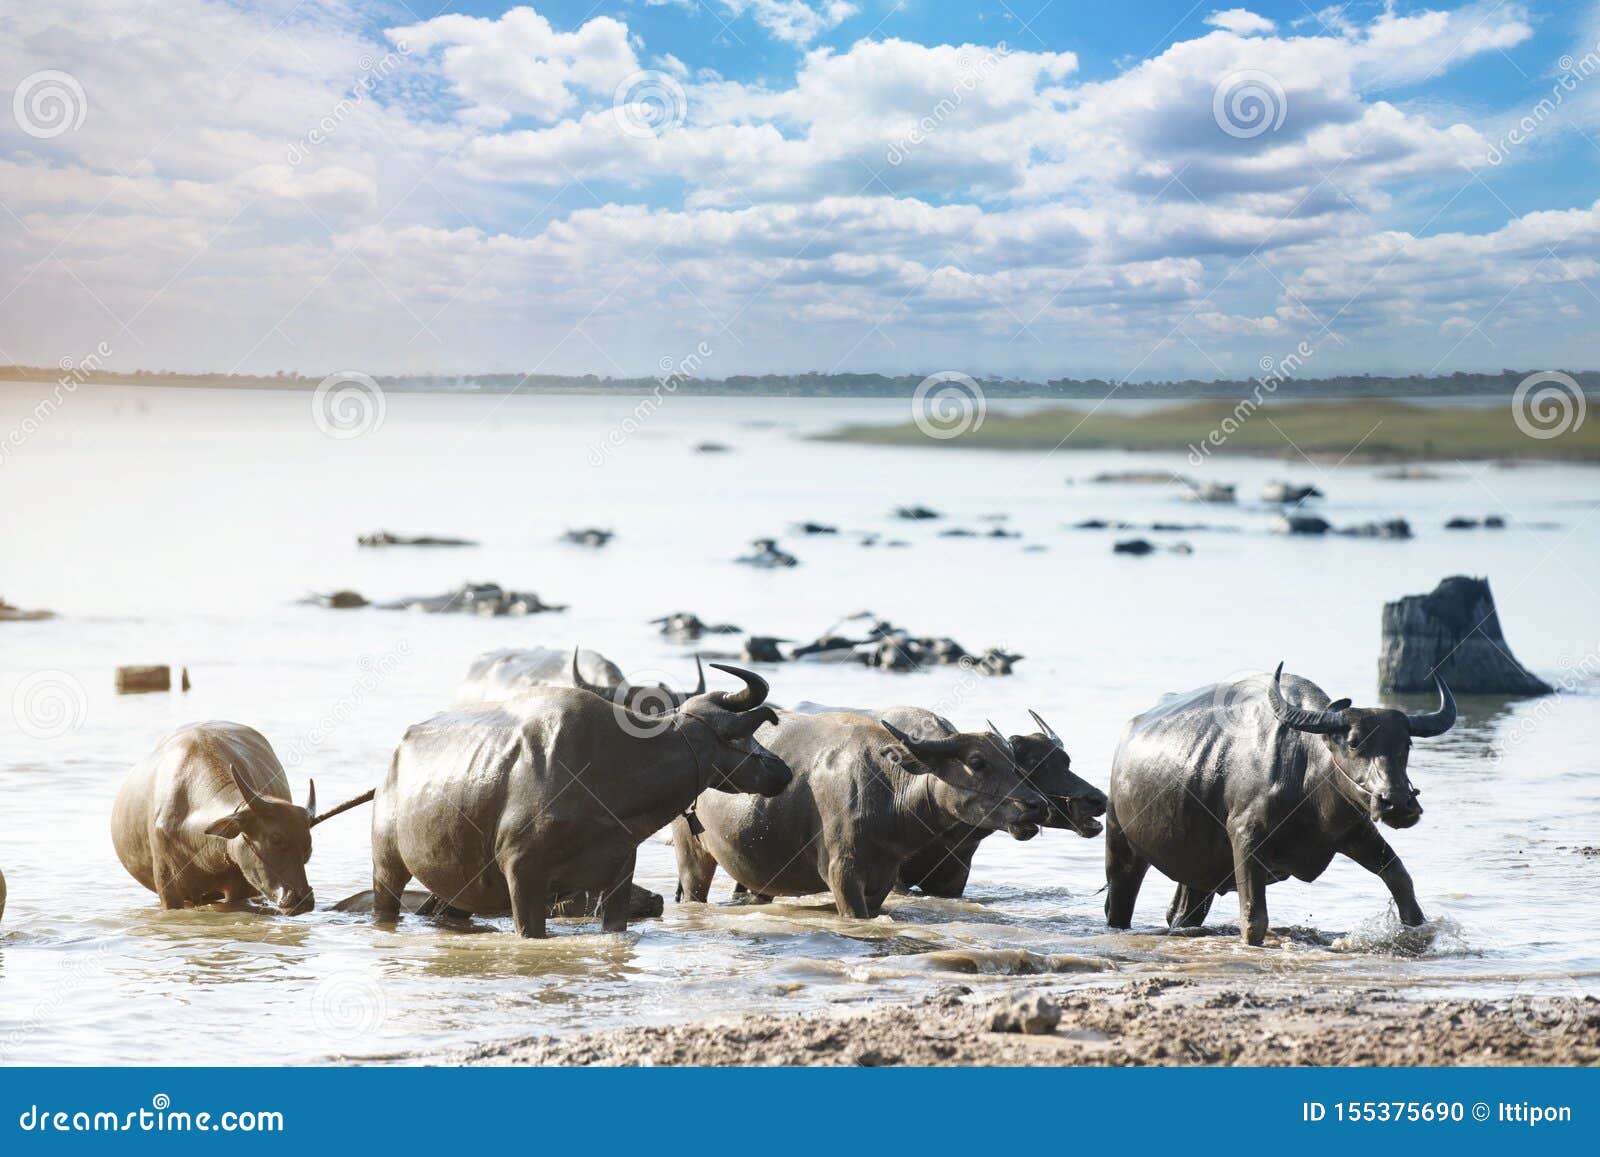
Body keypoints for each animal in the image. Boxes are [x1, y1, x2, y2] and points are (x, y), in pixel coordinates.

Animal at [371, 665, 790, 937]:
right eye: (739, 735)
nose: (781, 770)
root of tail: (395, 759)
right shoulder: (523, 876)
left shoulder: (620, 877)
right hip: (386, 867)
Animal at [1105, 663, 1455, 945]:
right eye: (1355, 742)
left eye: (1406, 743)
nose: (1397, 802)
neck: (1305, 779)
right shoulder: (1246, 837)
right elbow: (1254, 919)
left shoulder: (1356, 833)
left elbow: (1400, 880)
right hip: (1120, 845)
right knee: (1119, 902)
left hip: (1199, 871)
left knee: (1181, 912)